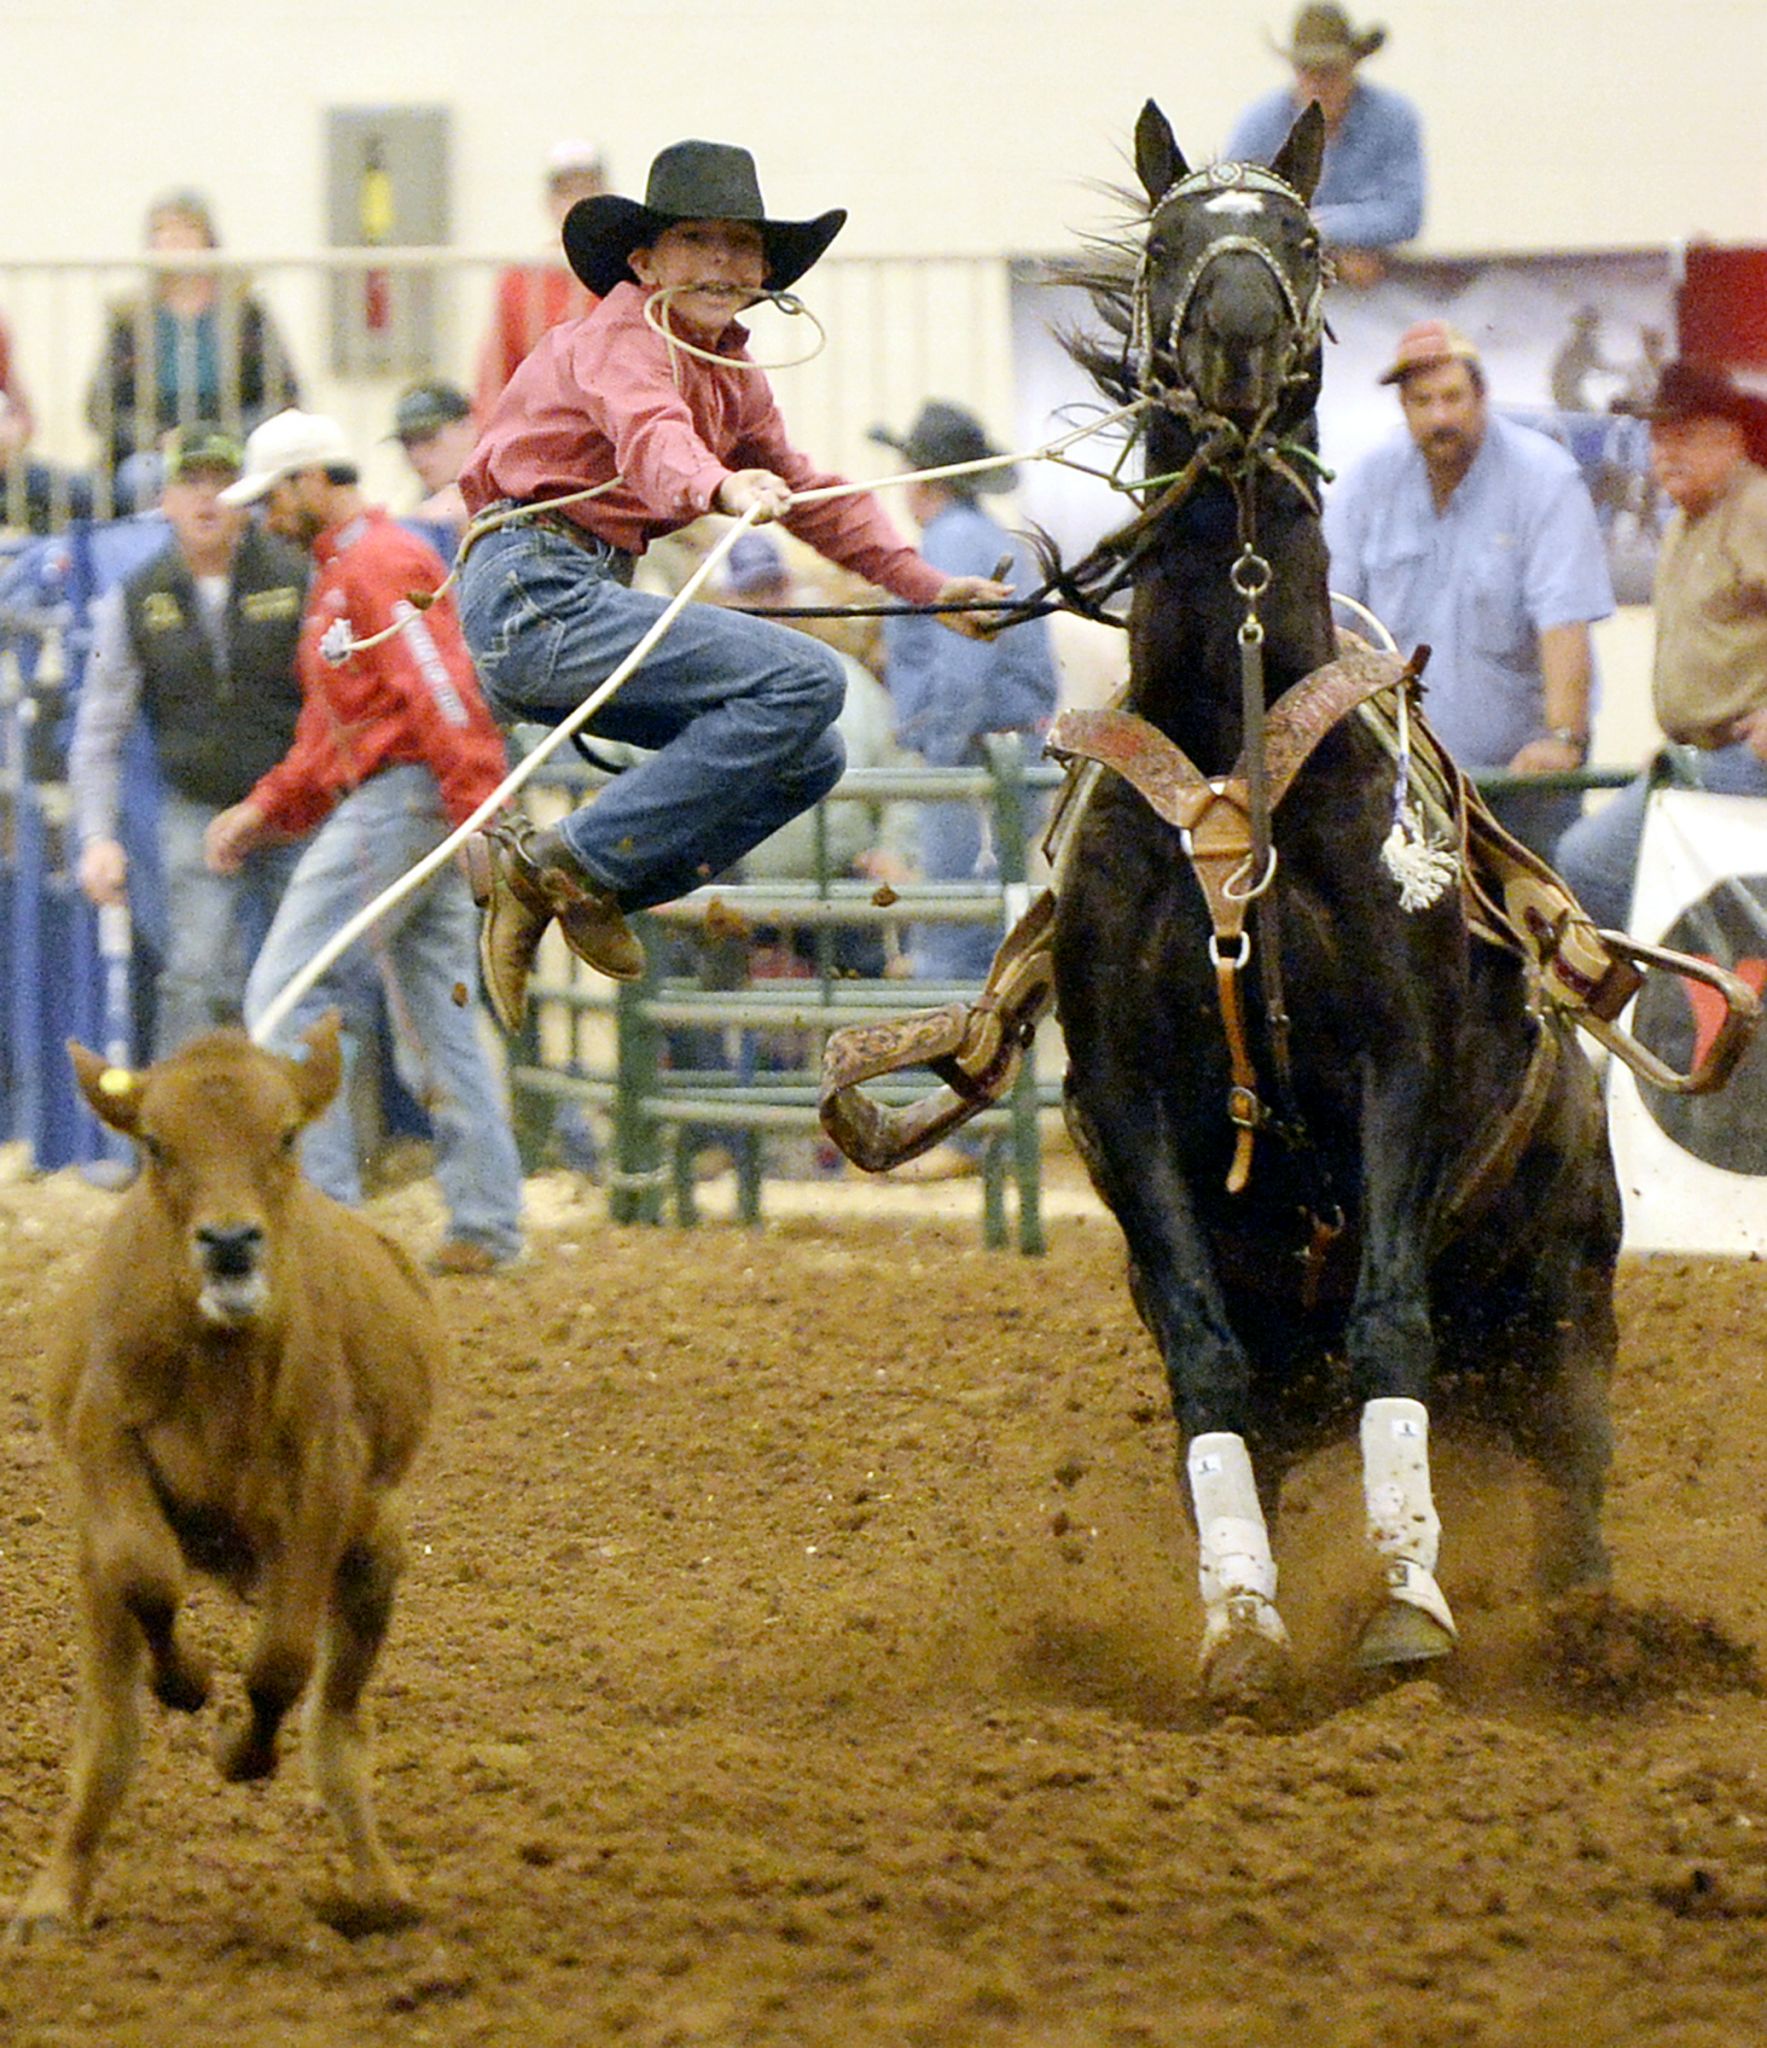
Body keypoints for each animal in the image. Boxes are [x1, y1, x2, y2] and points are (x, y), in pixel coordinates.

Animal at [8, 1016, 444, 1940]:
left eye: (284, 1137)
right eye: (156, 1145)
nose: (232, 1242)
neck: (219, 1365)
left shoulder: (323, 1483)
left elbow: (281, 1661)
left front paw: (238, 1751)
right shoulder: (104, 1446)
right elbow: (147, 1577)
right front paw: (186, 1682)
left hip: (375, 1558)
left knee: (336, 1727)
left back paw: (378, 1891)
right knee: (110, 1736)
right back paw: (55, 1897)